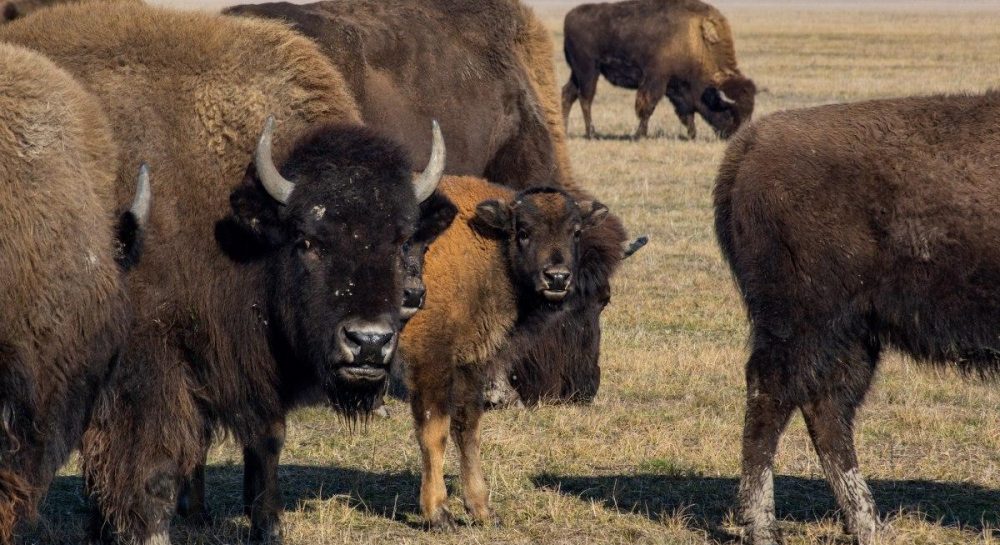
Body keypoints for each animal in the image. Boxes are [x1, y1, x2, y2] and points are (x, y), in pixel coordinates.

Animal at [562, 0, 756, 140]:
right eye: (731, 112)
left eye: (750, 112)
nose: (735, 138)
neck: (696, 41)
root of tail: (569, 16)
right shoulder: (656, 80)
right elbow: (648, 107)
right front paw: (639, 135)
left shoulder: (678, 87)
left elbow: (687, 112)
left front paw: (692, 135)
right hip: (588, 71)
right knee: (585, 99)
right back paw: (591, 134)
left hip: (576, 73)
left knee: (568, 94)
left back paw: (564, 129)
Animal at [714, 91, 1000, 545]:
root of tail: (748, 147)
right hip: (803, 323)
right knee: (772, 396)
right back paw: (764, 529)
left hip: (853, 333)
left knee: (827, 407)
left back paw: (868, 525)